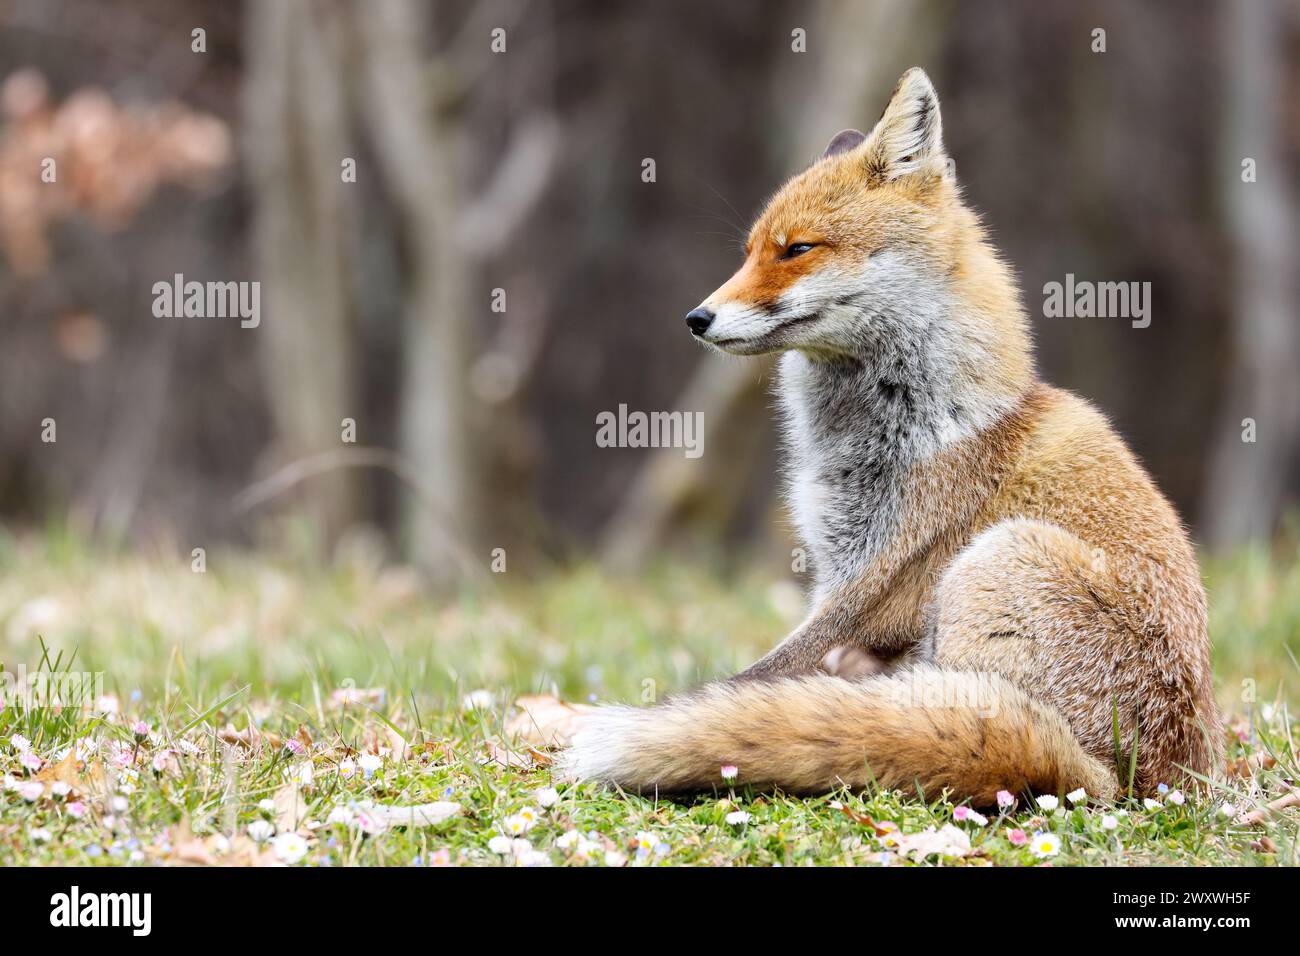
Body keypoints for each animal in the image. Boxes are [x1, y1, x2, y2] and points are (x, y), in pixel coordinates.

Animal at [564, 68, 1221, 805]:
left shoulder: (870, 579)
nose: (696, 318)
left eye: (797, 249)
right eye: (750, 253)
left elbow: (755, 677)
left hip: (996, 561)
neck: (903, 418)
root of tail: (1140, 780)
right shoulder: (836, 566)